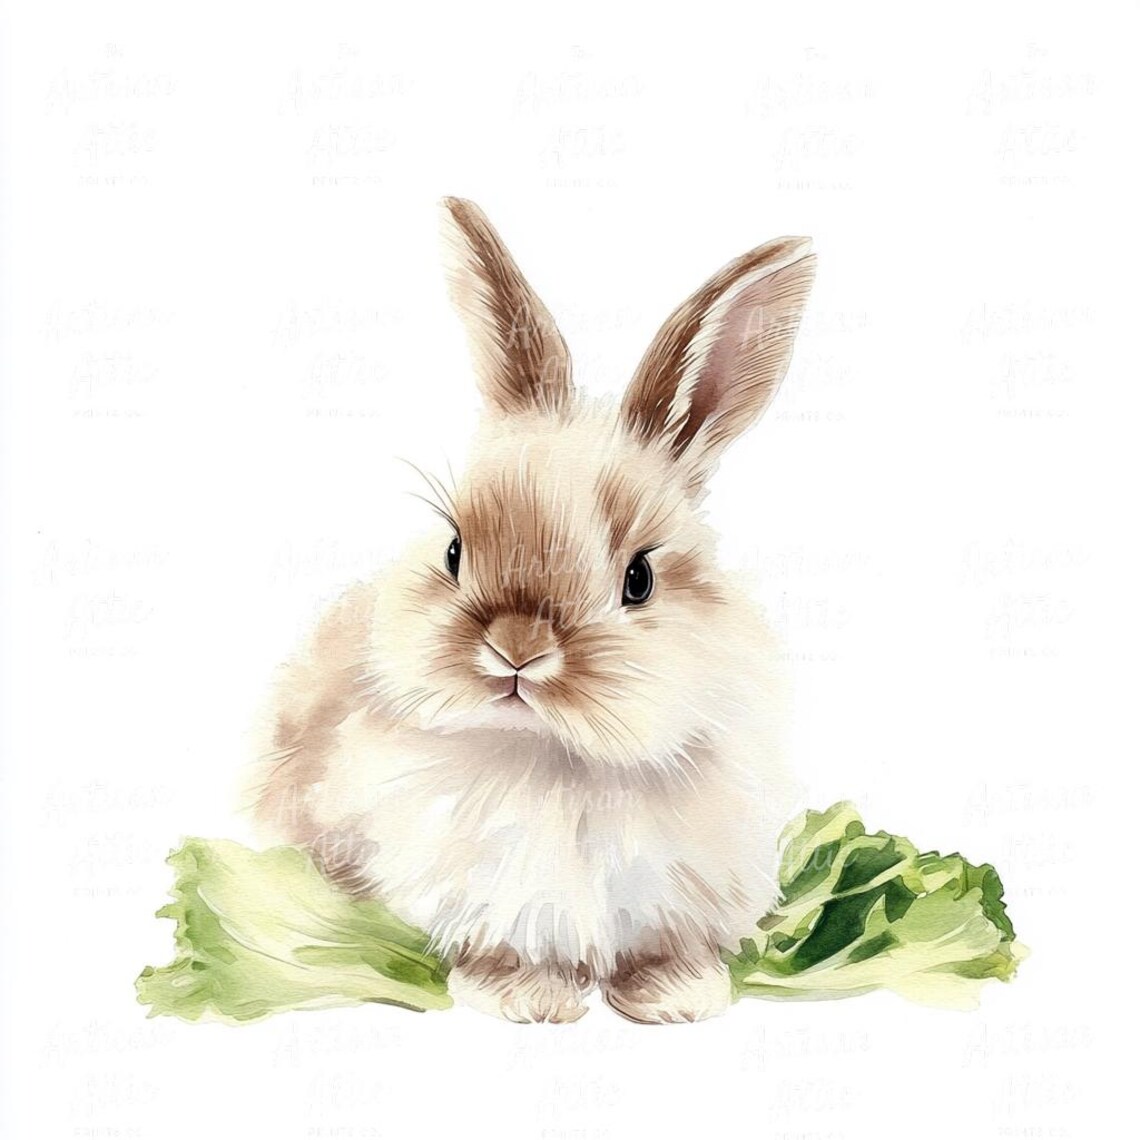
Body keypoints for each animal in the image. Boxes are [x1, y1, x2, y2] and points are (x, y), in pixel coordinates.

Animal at [247, 197, 816, 1024]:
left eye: (639, 579)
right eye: (455, 551)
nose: (517, 647)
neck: (554, 757)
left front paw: (678, 997)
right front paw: (528, 1000)